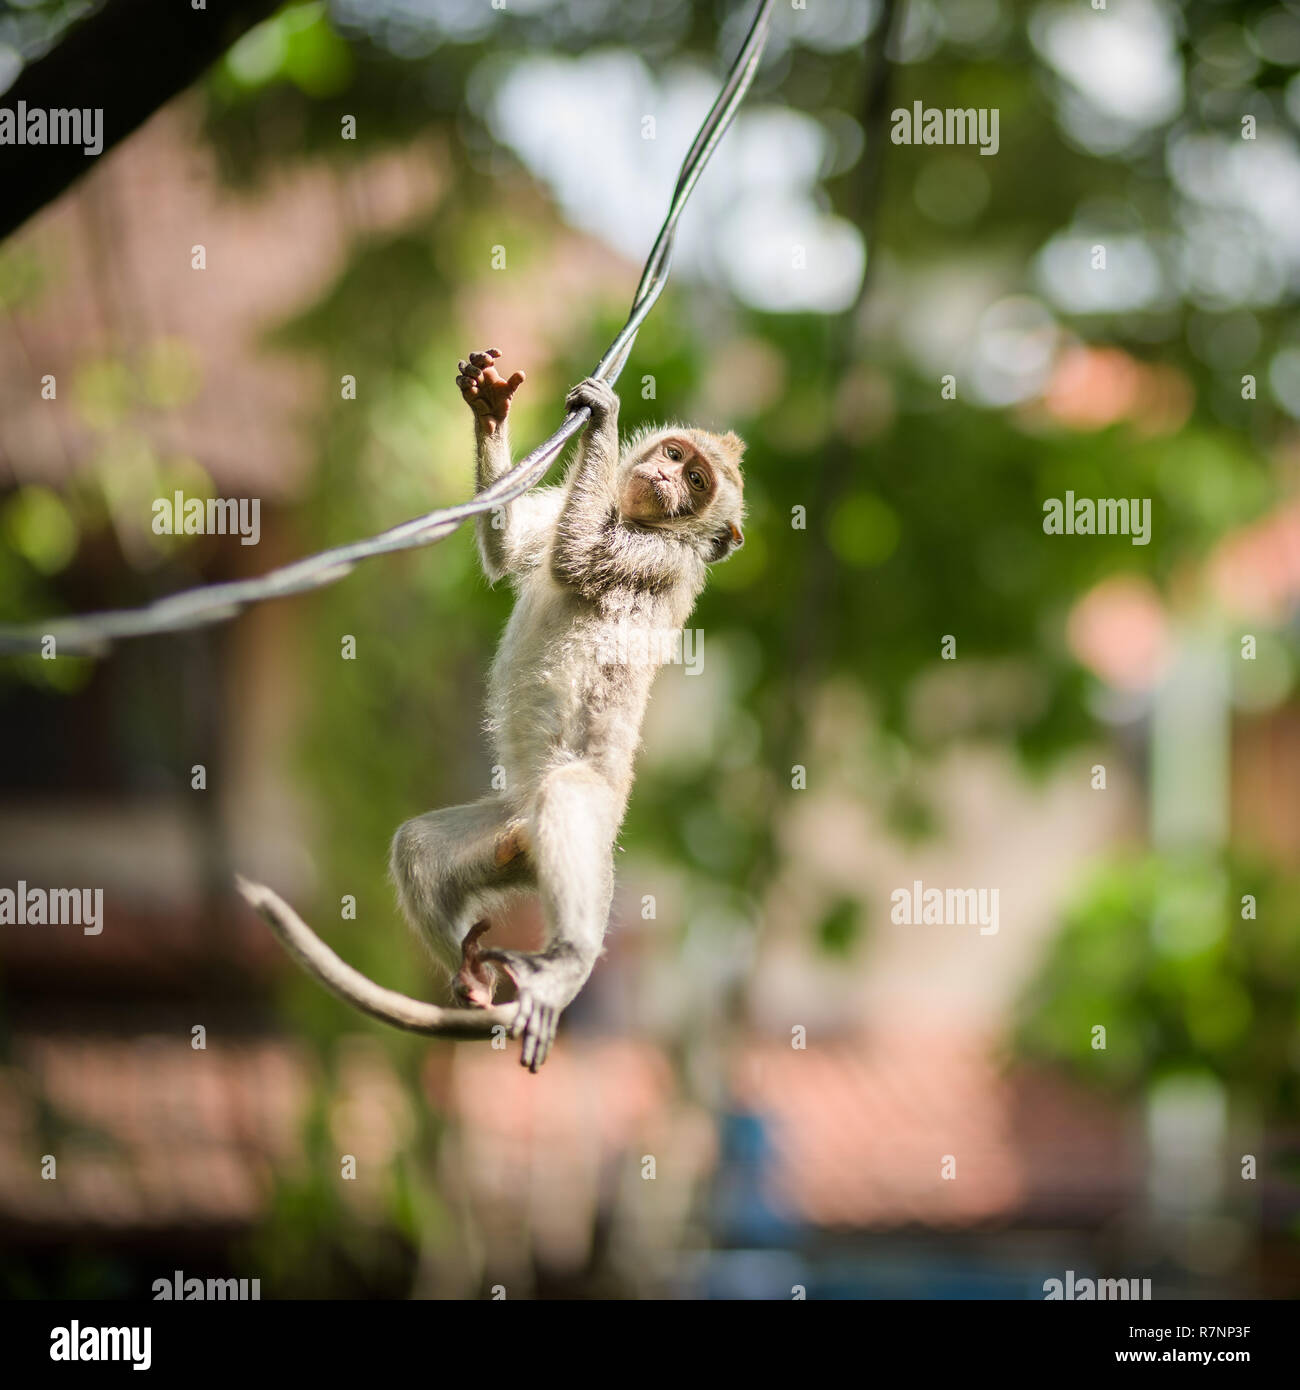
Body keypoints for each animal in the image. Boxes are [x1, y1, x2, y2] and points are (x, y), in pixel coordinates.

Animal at [389, 348, 745, 1071]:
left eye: (696, 480)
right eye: (674, 454)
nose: (665, 475)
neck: (638, 518)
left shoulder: (659, 556)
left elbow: (576, 558)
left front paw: (602, 421)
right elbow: (512, 552)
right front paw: (491, 407)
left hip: (594, 802)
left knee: (571, 800)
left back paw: (569, 960)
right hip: (507, 837)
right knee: (420, 848)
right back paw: (472, 978)